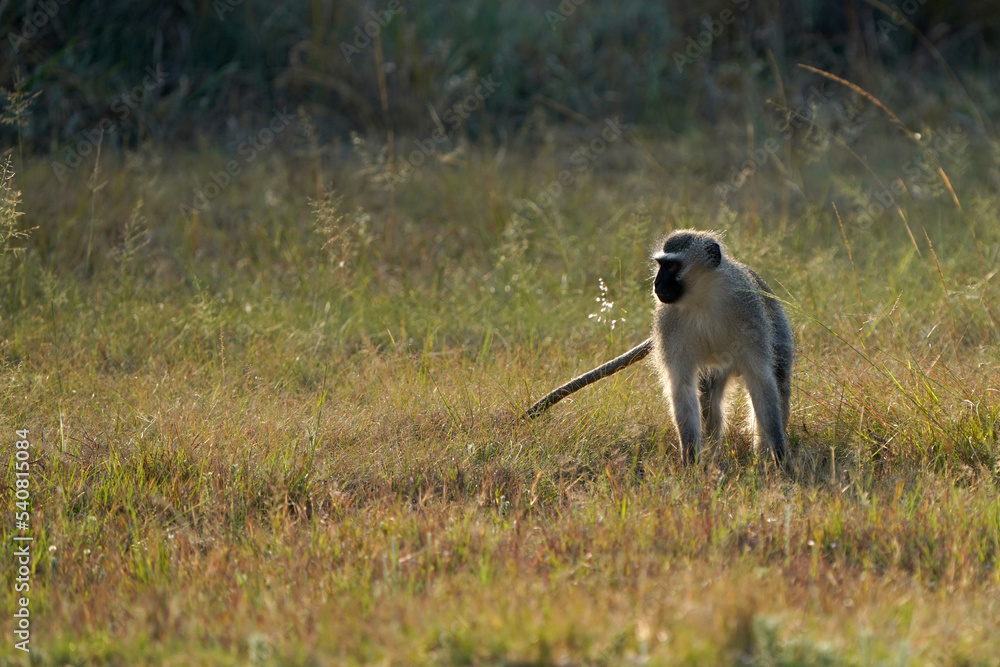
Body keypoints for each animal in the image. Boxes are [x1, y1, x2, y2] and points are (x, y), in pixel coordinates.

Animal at [524, 229, 792, 466]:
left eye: (671, 266)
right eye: (661, 265)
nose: (657, 282)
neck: (702, 297)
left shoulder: (747, 309)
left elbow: (760, 379)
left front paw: (779, 457)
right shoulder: (667, 322)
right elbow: (682, 386)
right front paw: (691, 462)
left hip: (777, 330)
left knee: (779, 382)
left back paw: (761, 457)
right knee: (709, 402)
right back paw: (713, 458)